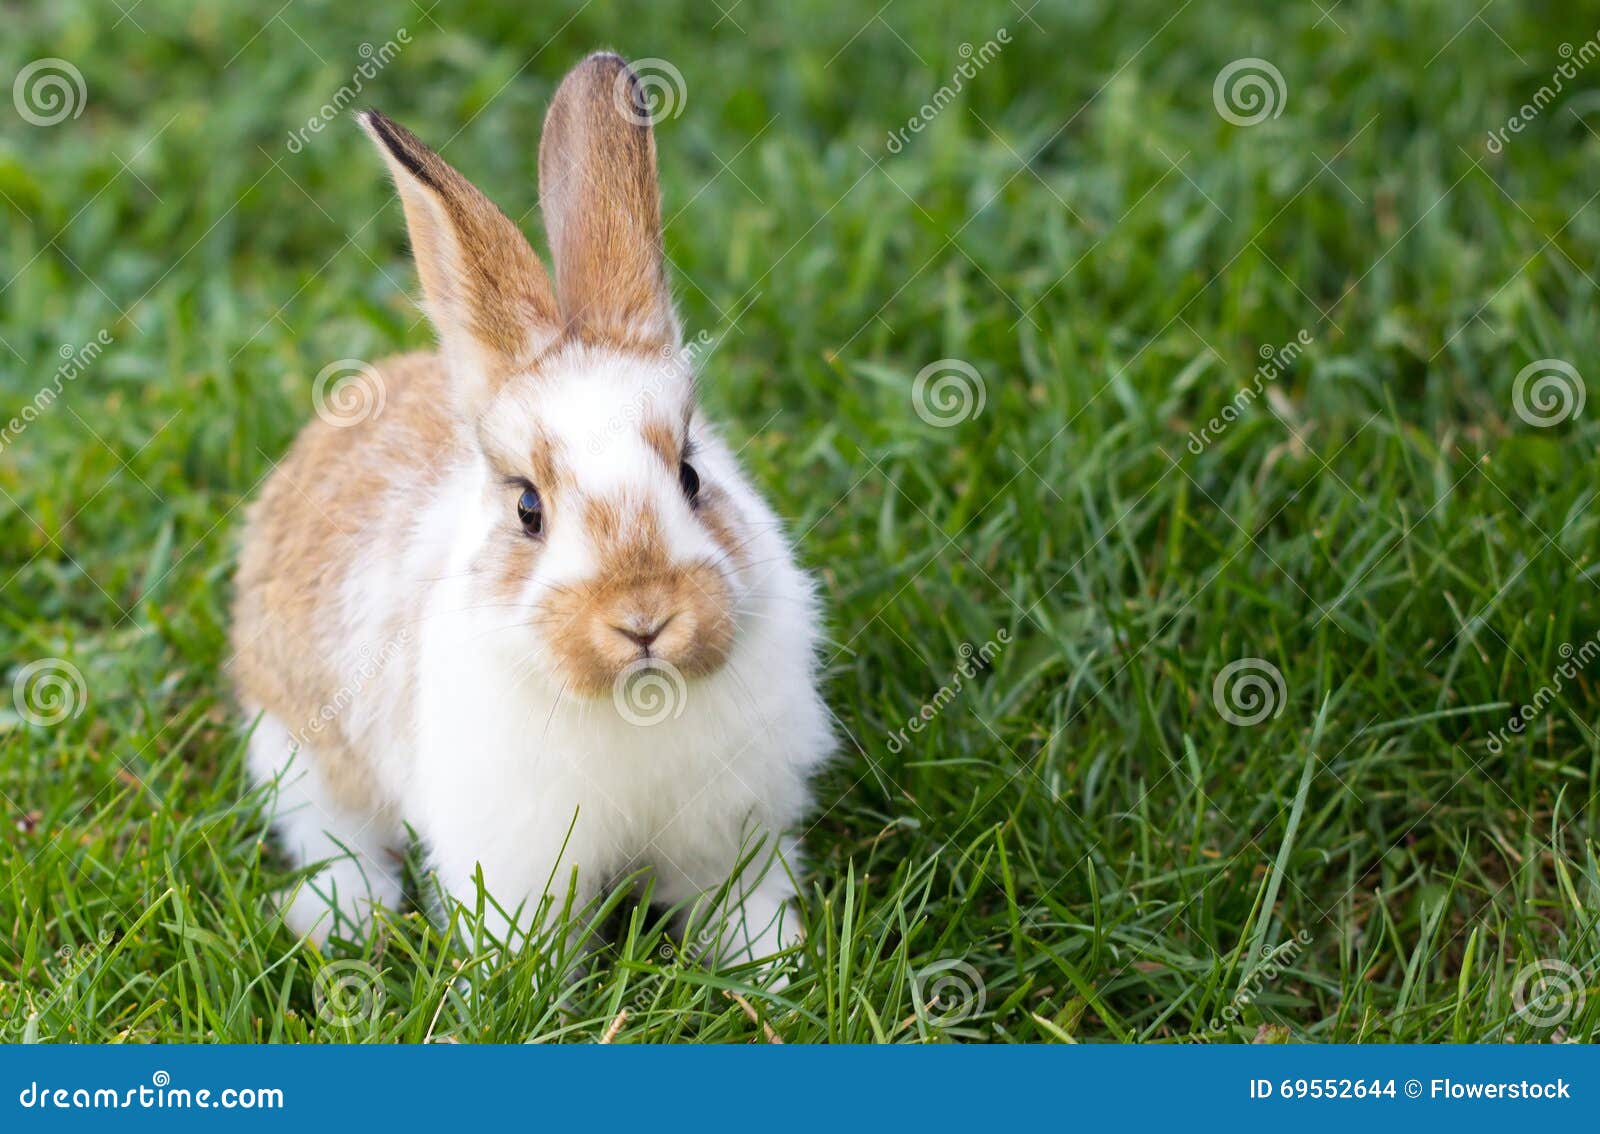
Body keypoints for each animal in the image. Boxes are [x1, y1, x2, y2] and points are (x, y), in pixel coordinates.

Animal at [229, 53, 833, 970]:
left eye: (691, 475)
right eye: (526, 508)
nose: (644, 618)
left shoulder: (735, 835)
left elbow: (744, 904)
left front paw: (773, 968)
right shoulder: (514, 859)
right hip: (295, 745)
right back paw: (340, 915)